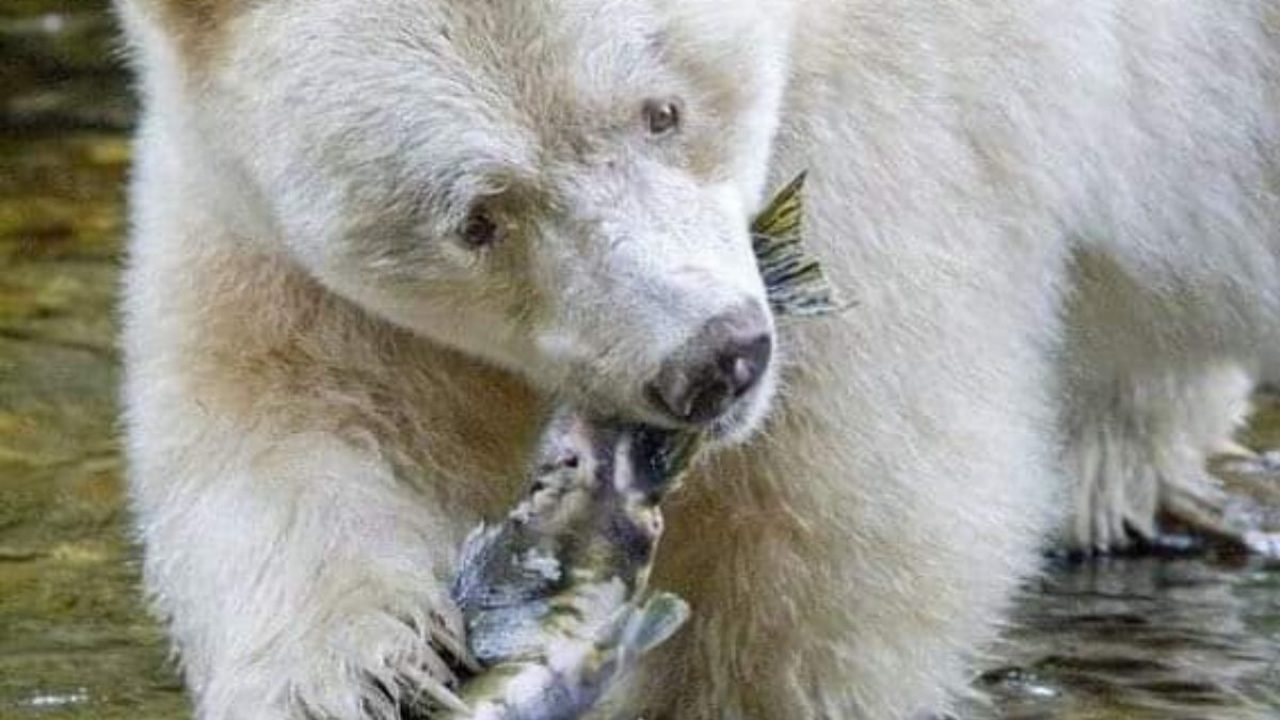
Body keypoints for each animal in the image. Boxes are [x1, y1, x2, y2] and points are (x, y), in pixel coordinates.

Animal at [115, 0, 1280, 718]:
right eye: (478, 217)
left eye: (662, 110)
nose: (714, 361)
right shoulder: (243, 205)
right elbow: (292, 406)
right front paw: (378, 670)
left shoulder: (891, 129)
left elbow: (843, 517)